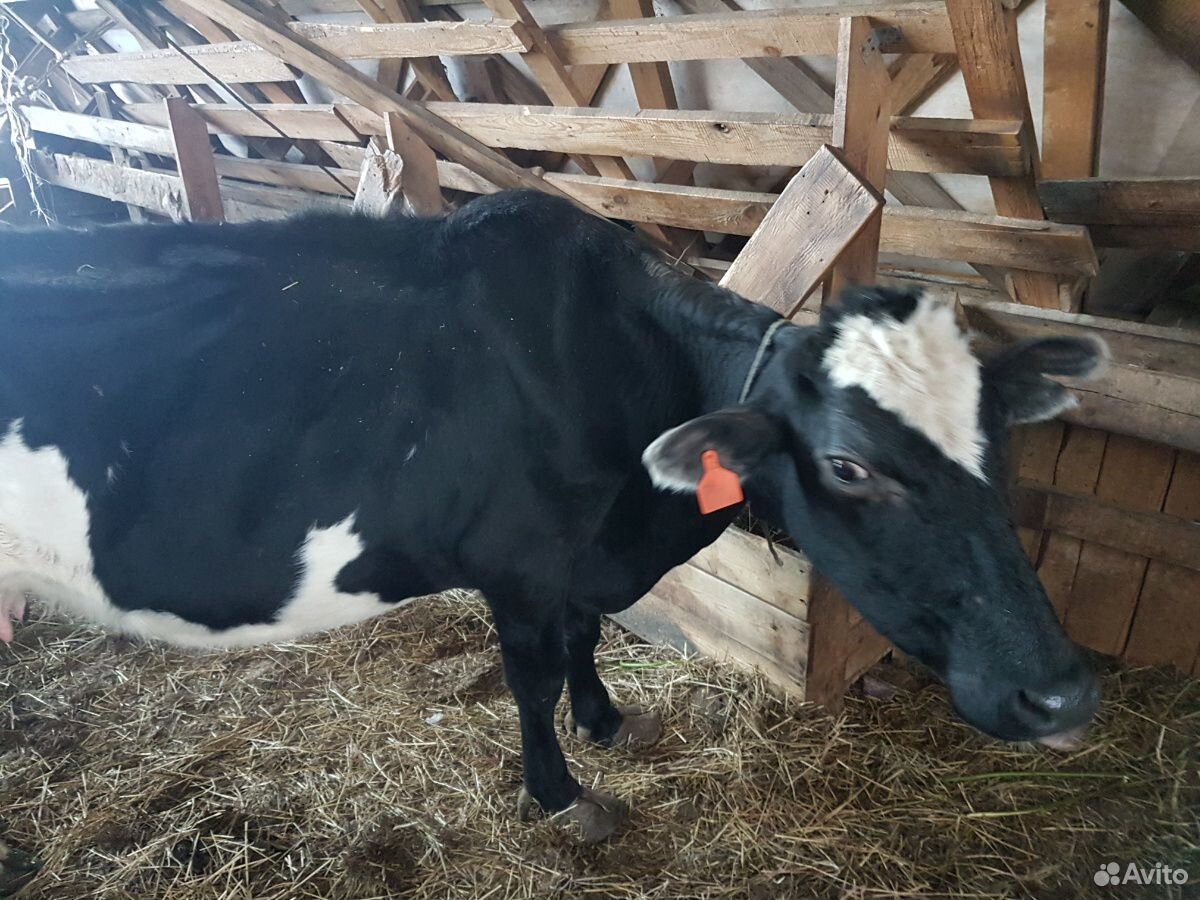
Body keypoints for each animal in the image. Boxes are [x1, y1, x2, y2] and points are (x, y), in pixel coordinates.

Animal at [0, 190, 1103, 846]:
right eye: (847, 465)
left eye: (1002, 441)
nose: (1060, 692)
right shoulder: (521, 560)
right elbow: (530, 677)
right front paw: (564, 793)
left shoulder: (579, 556)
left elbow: (587, 636)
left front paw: (606, 718)